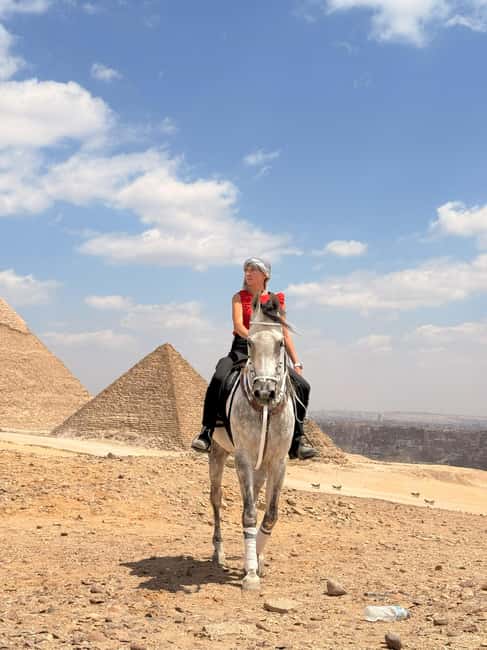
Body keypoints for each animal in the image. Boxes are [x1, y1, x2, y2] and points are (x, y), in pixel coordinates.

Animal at [209, 293, 295, 591]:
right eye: (249, 343)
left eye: (281, 343)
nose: (264, 391)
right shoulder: (243, 458)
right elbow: (248, 514)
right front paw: (250, 573)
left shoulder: (278, 462)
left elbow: (270, 514)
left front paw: (257, 559)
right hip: (218, 454)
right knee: (216, 499)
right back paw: (218, 551)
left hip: (261, 469)